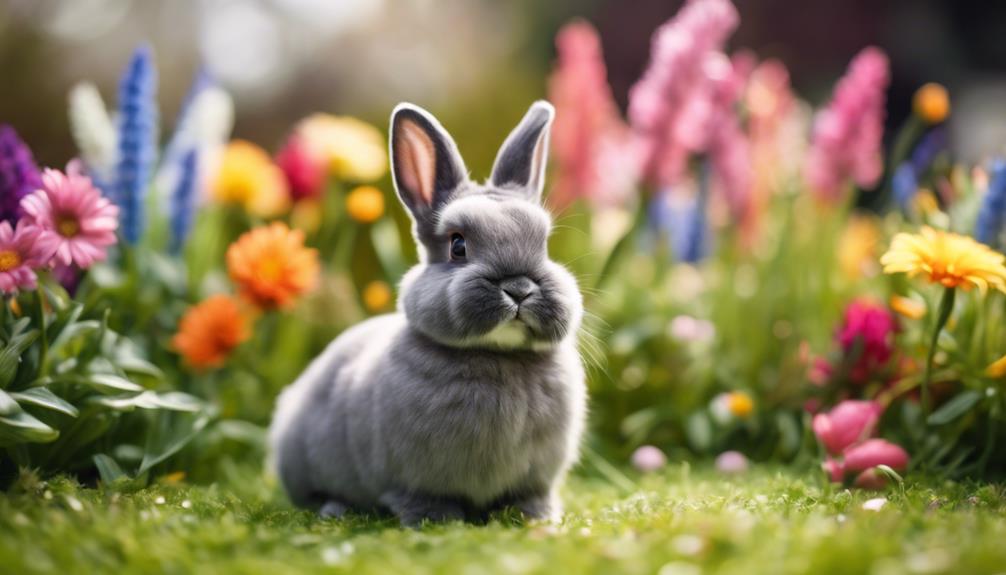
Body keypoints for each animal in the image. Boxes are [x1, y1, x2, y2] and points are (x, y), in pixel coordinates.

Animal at [268, 101, 586, 527]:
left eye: (545, 245)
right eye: (457, 246)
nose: (519, 288)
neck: (497, 354)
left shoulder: (536, 478)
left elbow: (530, 497)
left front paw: (537, 518)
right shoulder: (414, 478)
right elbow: (422, 499)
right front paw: (435, 520)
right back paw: (336, 509)